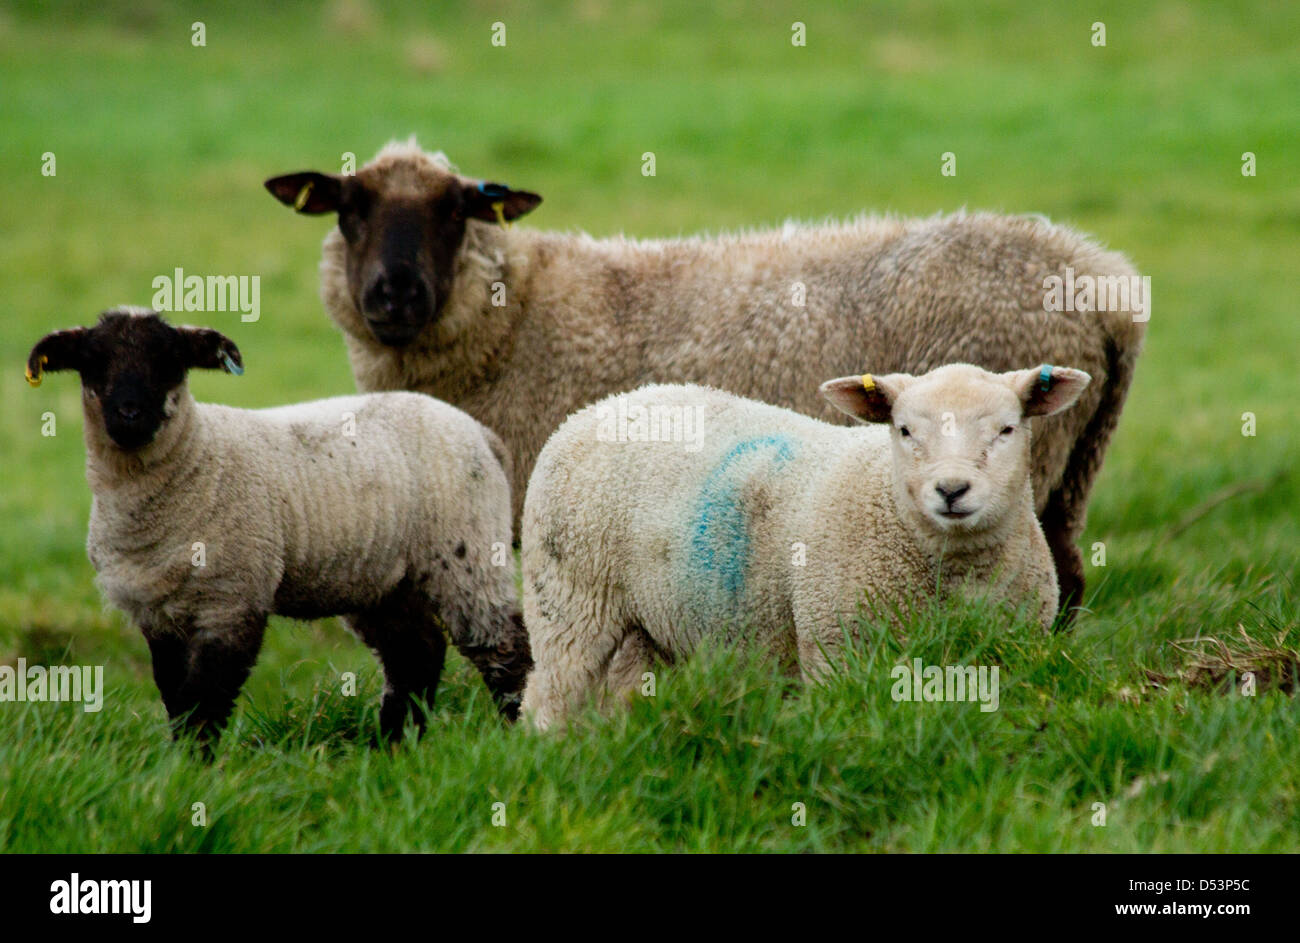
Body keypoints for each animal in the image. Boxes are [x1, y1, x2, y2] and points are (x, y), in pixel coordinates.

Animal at [25, 308, 530, 751]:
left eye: (170, 360)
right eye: (93, 361)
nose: (130, 414)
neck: (195, 463)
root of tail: (481, 434)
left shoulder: (233, 597)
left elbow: (206, 696)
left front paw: (198, 766)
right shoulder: (157, 612)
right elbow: (175, 696)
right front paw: (182, 762)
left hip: (466, 553)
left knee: (505, 648)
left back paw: (521, 735)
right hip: (381, 578)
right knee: (416, 653)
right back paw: (394, 746)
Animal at [265, 140, 1145, 616]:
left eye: (454, 212)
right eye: (348, 210)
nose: (393, 296)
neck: (518, 317)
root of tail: (1107, 286)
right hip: (1069, 469)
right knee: (1070, 578)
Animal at [517, 362, 1091, 731]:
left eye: (1007, 429)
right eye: (904, 430)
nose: (951, 490)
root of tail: (601, 406)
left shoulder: (1010, 652)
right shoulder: (838, 648)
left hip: (650, 620)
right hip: (568, 599)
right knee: (548, 695)